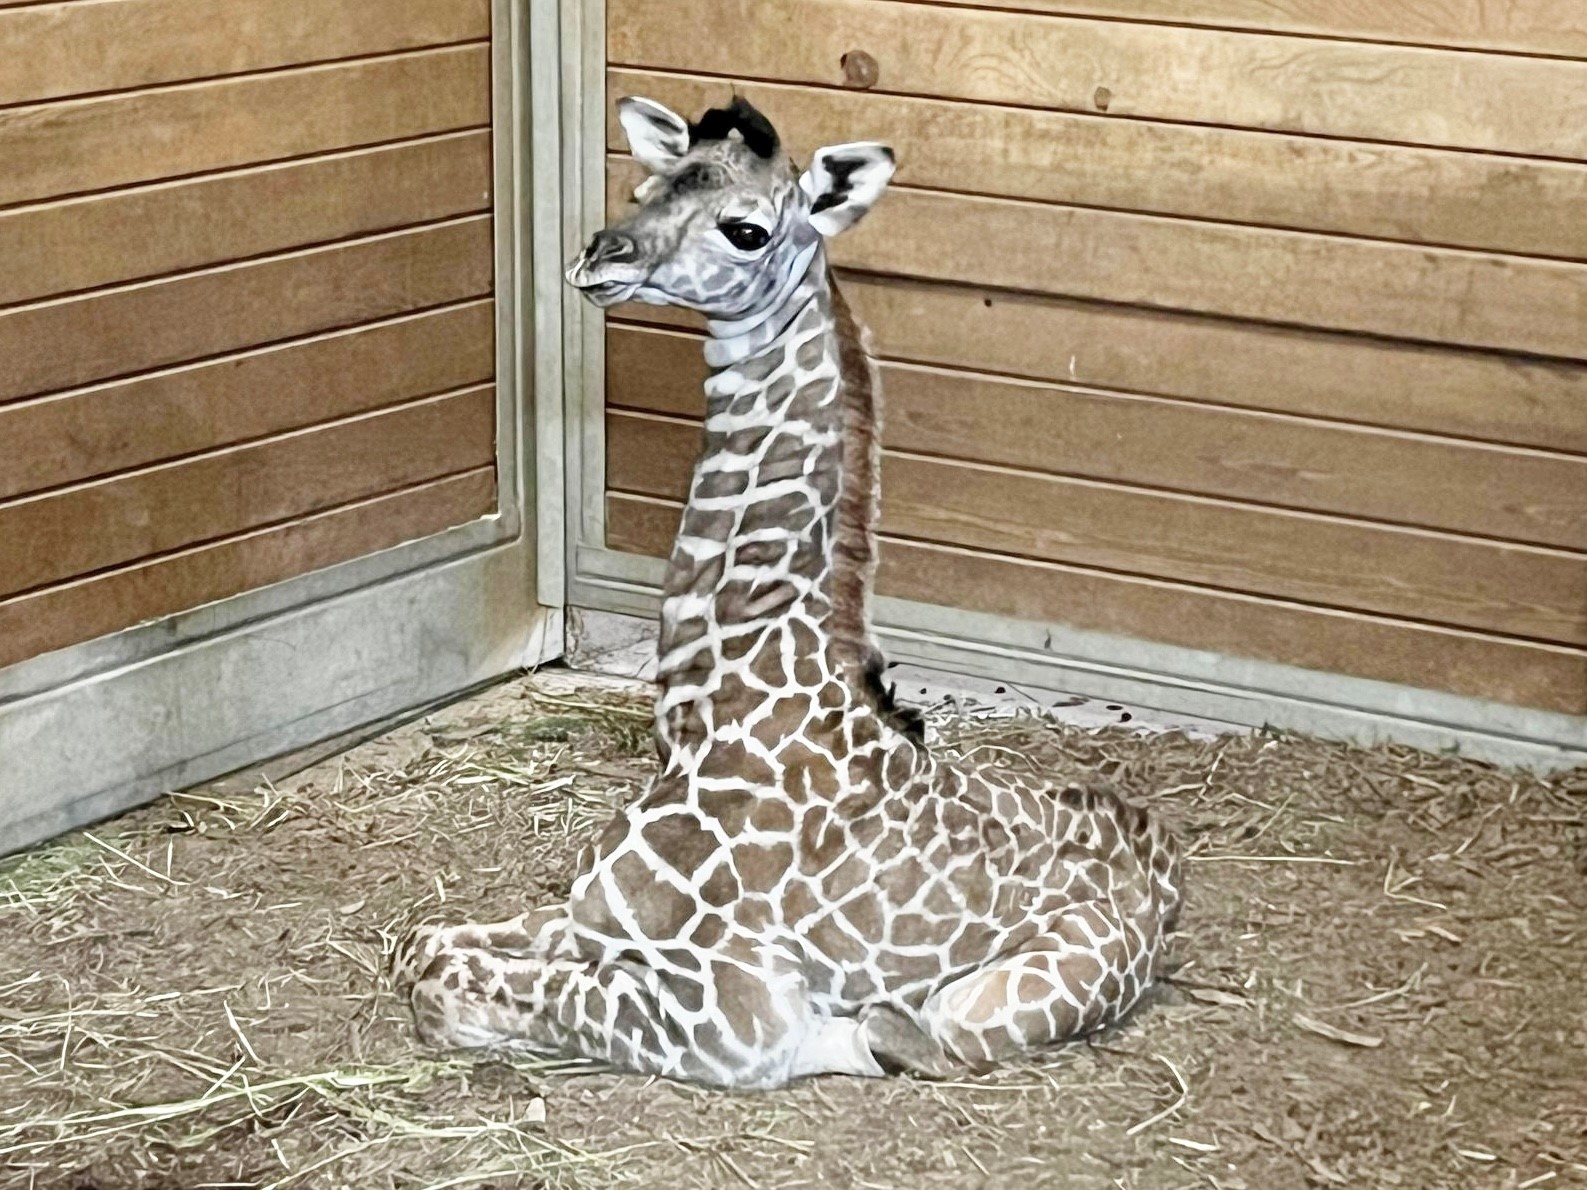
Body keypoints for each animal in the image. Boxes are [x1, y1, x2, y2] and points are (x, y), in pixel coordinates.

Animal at [393, 95, 1183, 1090]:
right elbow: (422, 945)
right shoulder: (588, 918)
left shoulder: (733, 1017)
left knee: (935, 1034)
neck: (712, 711)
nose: (600, 256)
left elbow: (447, 983)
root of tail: (1166, 878)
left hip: (987, 1005)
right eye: (645, 187)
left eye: (747, 229)